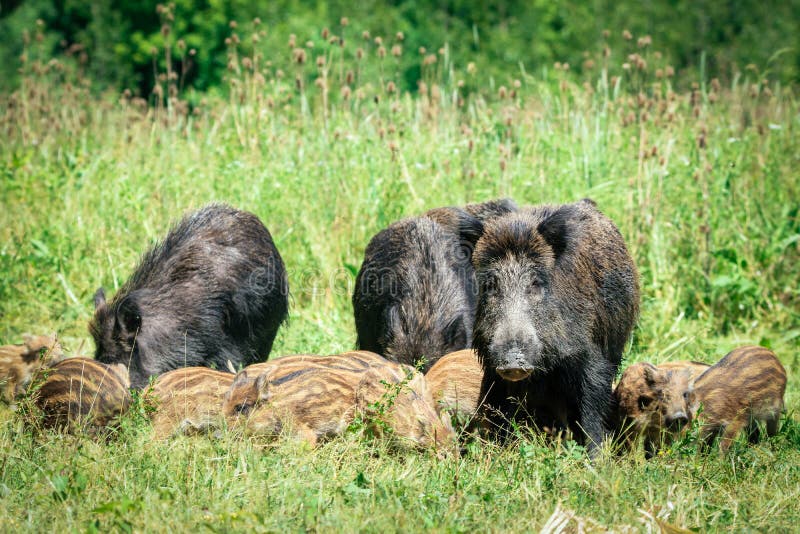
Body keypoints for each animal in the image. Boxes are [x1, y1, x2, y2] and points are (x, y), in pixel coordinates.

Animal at [472, 199, 640, 453]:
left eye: (535, 282)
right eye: (491, 284)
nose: (513, 362)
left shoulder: (593, 354)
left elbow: (592, 409)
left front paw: (596, 457)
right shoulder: (491, 362)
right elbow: (498, 409)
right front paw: (501, 451)